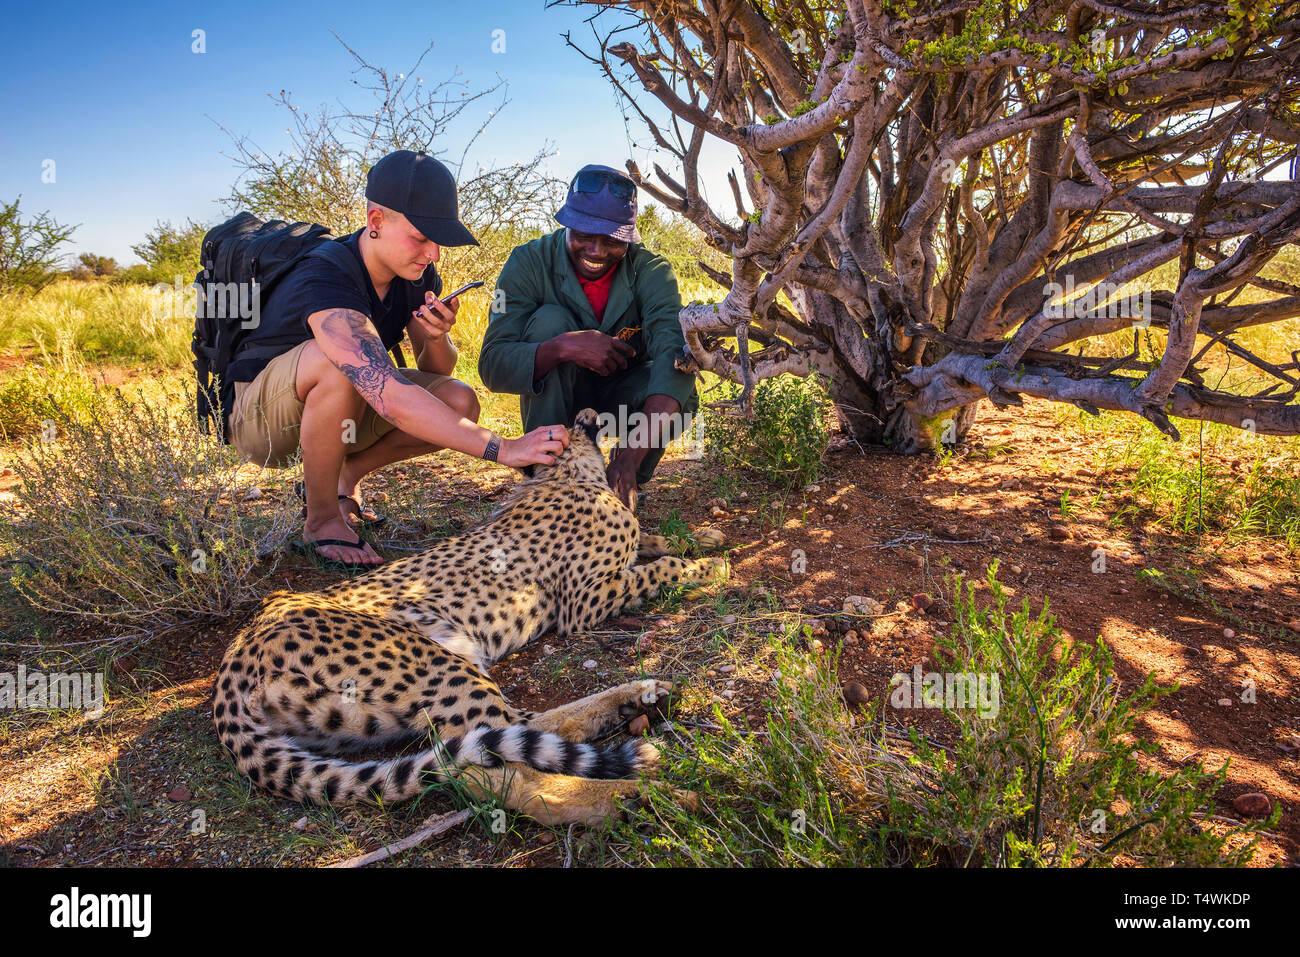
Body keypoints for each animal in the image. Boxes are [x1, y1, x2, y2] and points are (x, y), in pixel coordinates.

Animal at [214, 407, 726, 825]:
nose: (593, 410)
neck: (562, 474)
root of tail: (239, 649)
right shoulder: (586, 602)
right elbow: (659, 567)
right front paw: (709, 566)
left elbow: (655, 542)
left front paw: (706, 538)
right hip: (436, 664)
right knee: (494, 765)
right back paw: (644, 796)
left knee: (512, 731)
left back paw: (638, 698)